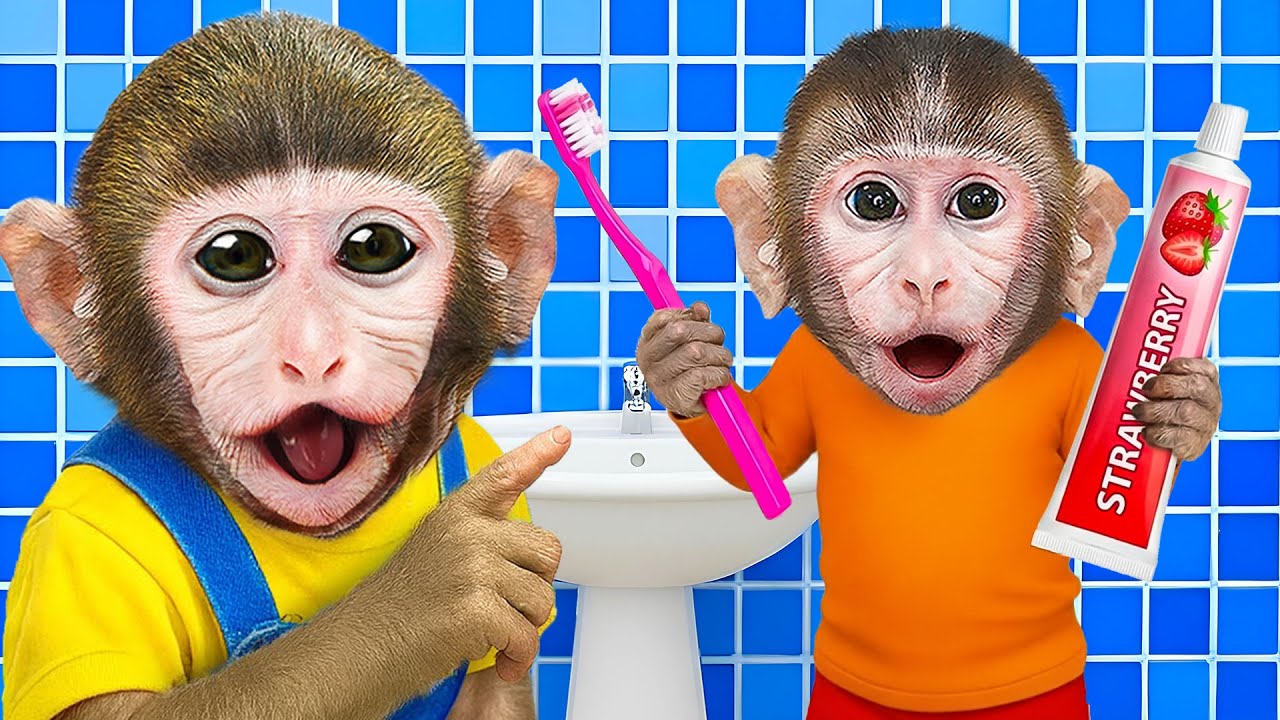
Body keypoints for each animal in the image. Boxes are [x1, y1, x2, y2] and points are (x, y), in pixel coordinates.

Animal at [636, 28, 1222, 720]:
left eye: (976, 202)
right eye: (874, 202)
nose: (924, 277)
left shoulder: (1086, 365)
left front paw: (1185, 411)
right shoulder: (804, 361)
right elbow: (767, 454)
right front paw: (679, 363)